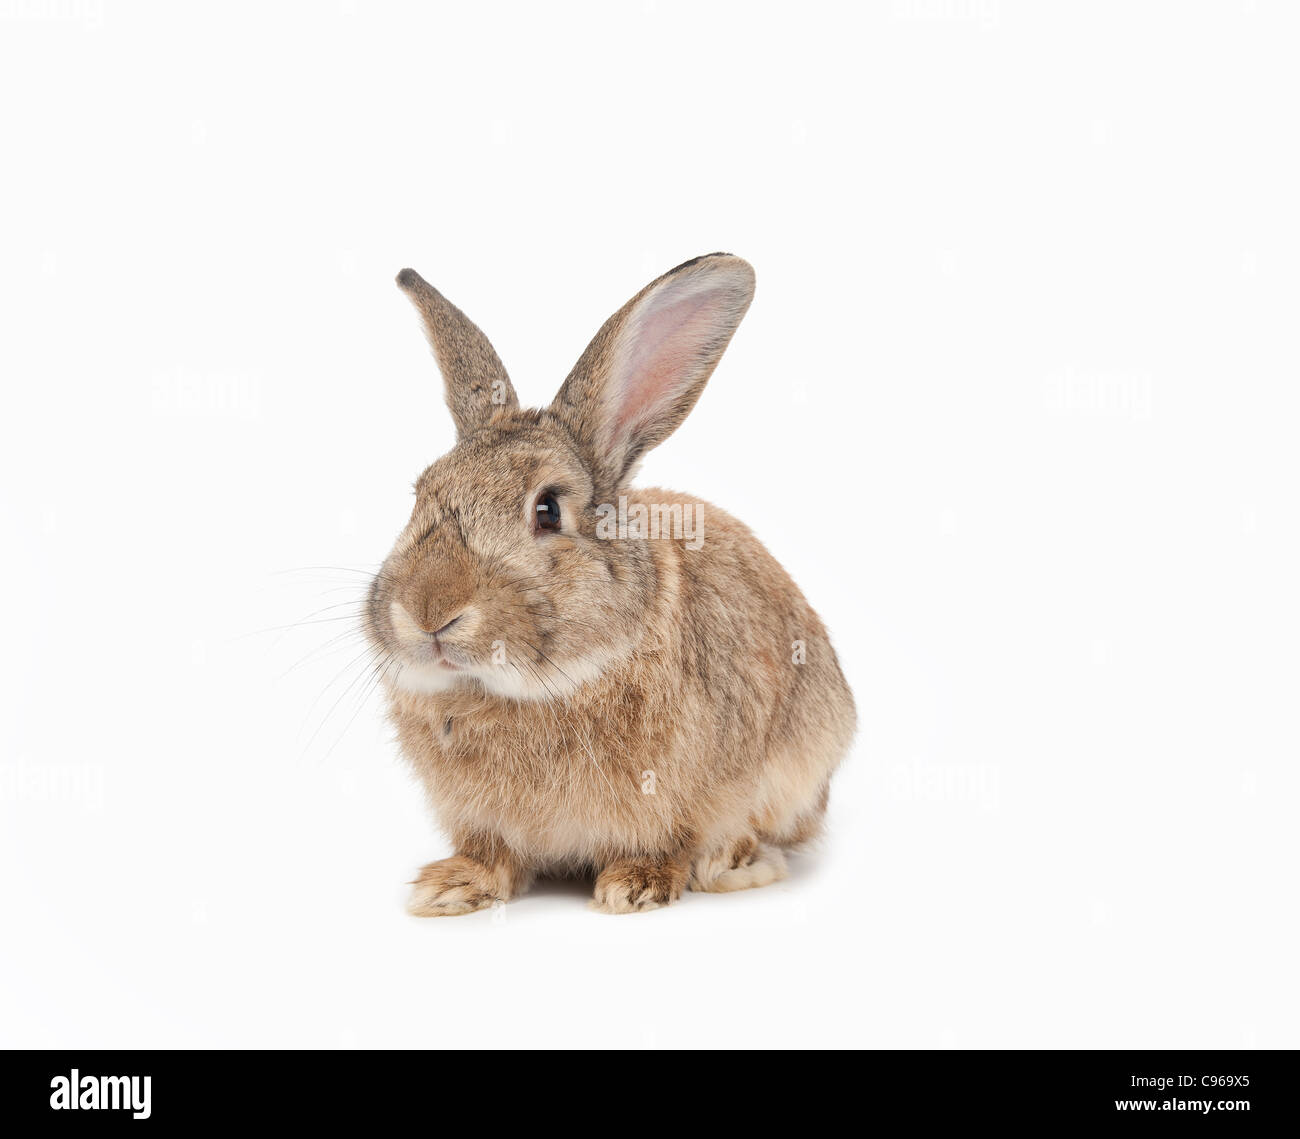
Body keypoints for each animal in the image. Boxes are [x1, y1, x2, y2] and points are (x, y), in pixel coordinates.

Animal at [364, 253, 856, 915]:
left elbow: (676, 838)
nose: (428, 611)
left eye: (548, 510)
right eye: (420, 495)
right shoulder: (483, 822)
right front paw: (449, 888)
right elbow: (492, 853)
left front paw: (636, 885)